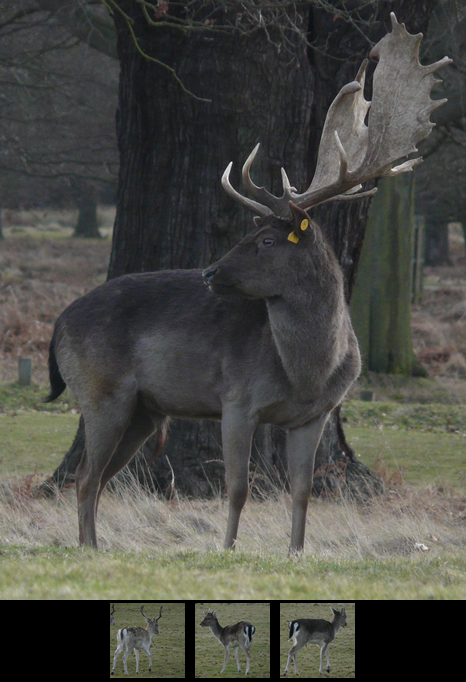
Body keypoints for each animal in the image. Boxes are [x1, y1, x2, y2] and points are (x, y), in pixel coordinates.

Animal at [44, 13, 450, 553]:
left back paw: (93, 545)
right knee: (85, 476)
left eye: (266, 240)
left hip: (144, 411)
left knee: (97, 477)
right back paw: (89, 548)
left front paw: (297, 552)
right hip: (99, 390)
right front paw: (227, 549)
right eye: (249, 234)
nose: (209, 272)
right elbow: (237, 488)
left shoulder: (315, 415)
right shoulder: (236, 398)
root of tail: (57, 325)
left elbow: (302, 491)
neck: (307, 370)